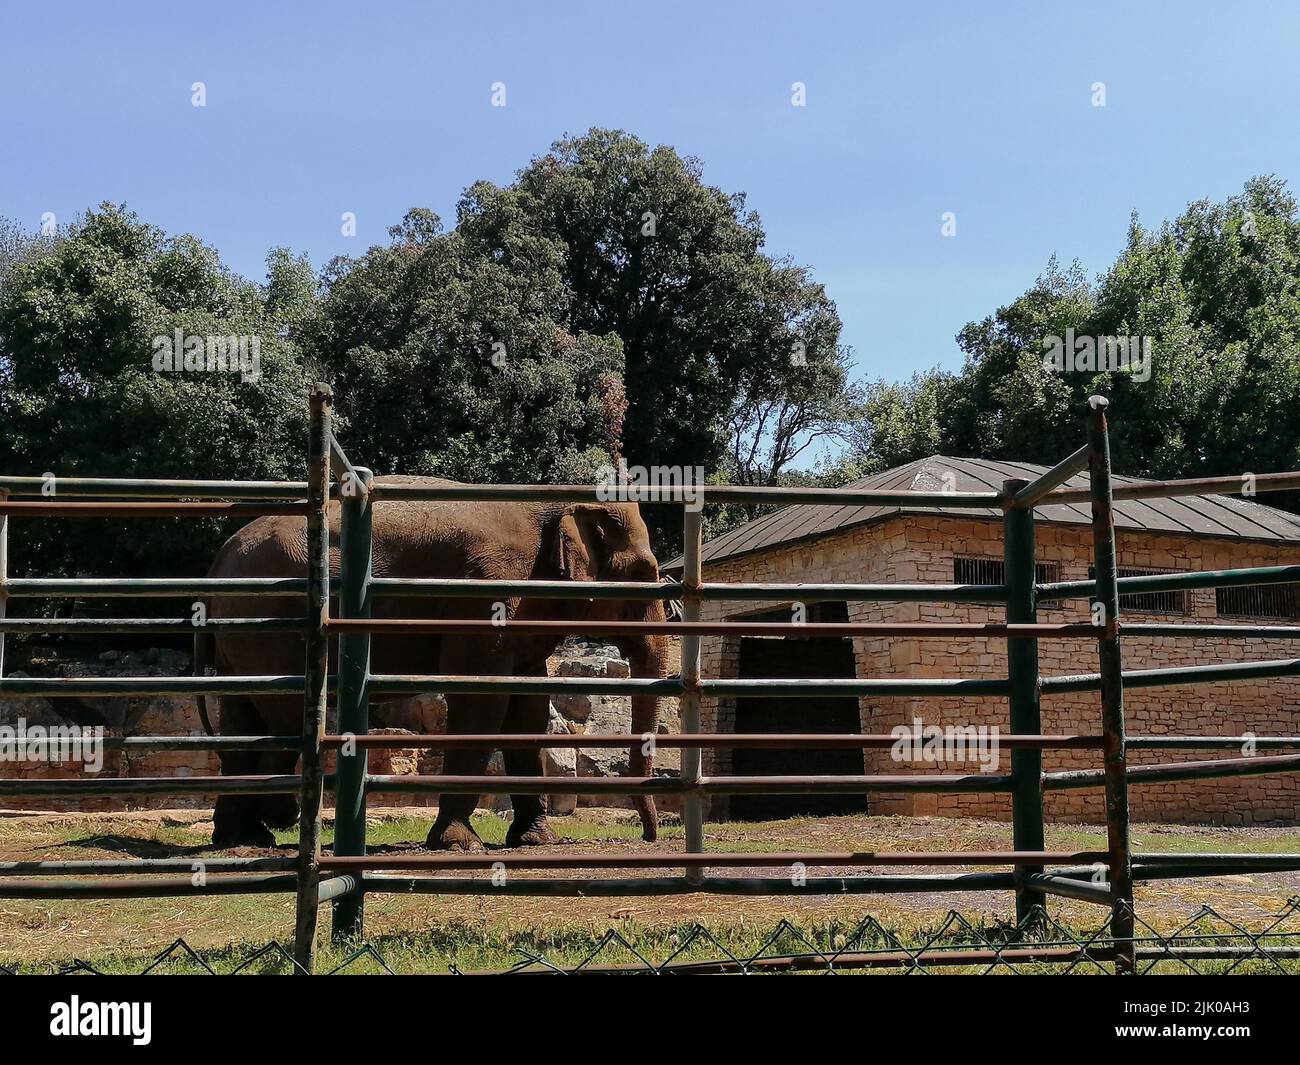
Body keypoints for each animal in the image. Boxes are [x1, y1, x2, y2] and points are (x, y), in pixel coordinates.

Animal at [194, 475, 669, 851]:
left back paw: (243, 839)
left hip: (240, 635)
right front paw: (461, 845)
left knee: (243, 717)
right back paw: (274, 819)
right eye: (646, 574)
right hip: (269, 623)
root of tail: (217, 563)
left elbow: (527, 709)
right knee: (282, 715)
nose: (649, 836)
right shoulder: (487, 596)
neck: (555, 501)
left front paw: (537, 841)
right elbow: (481, 703)